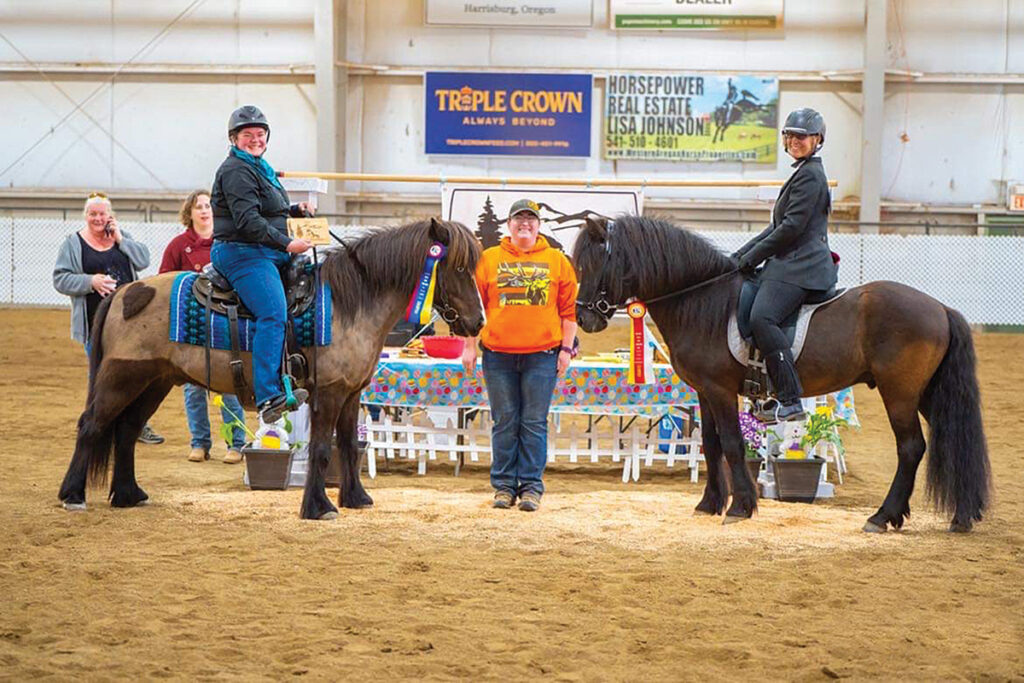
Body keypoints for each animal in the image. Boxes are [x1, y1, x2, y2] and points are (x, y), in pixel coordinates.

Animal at [58, 218, 485, 521]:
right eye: (458, 267)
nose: (478, 322)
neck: (351, 301)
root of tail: (123, 293)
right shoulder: (329, 393)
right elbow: (320, 449)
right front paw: (318, 507)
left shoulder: (352, 393)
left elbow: (348, 446)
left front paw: (356, 498)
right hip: (121, 379)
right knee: (92, 426)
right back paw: (73, 495)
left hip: (153, 382)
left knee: (127, 431)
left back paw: (129, 494)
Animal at [573, 215, 991, 533]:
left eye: (595, 265)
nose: (585, 319)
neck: (701, 299)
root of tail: (939, 307)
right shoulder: (704, 391)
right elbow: (710, 444)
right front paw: (710, 503)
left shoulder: (720, 390)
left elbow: (730, 444)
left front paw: (741, 507)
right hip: (926, 393)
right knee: (952, 437)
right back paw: (961, 515)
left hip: (899, 393)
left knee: (911, 448)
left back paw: (882, 516)